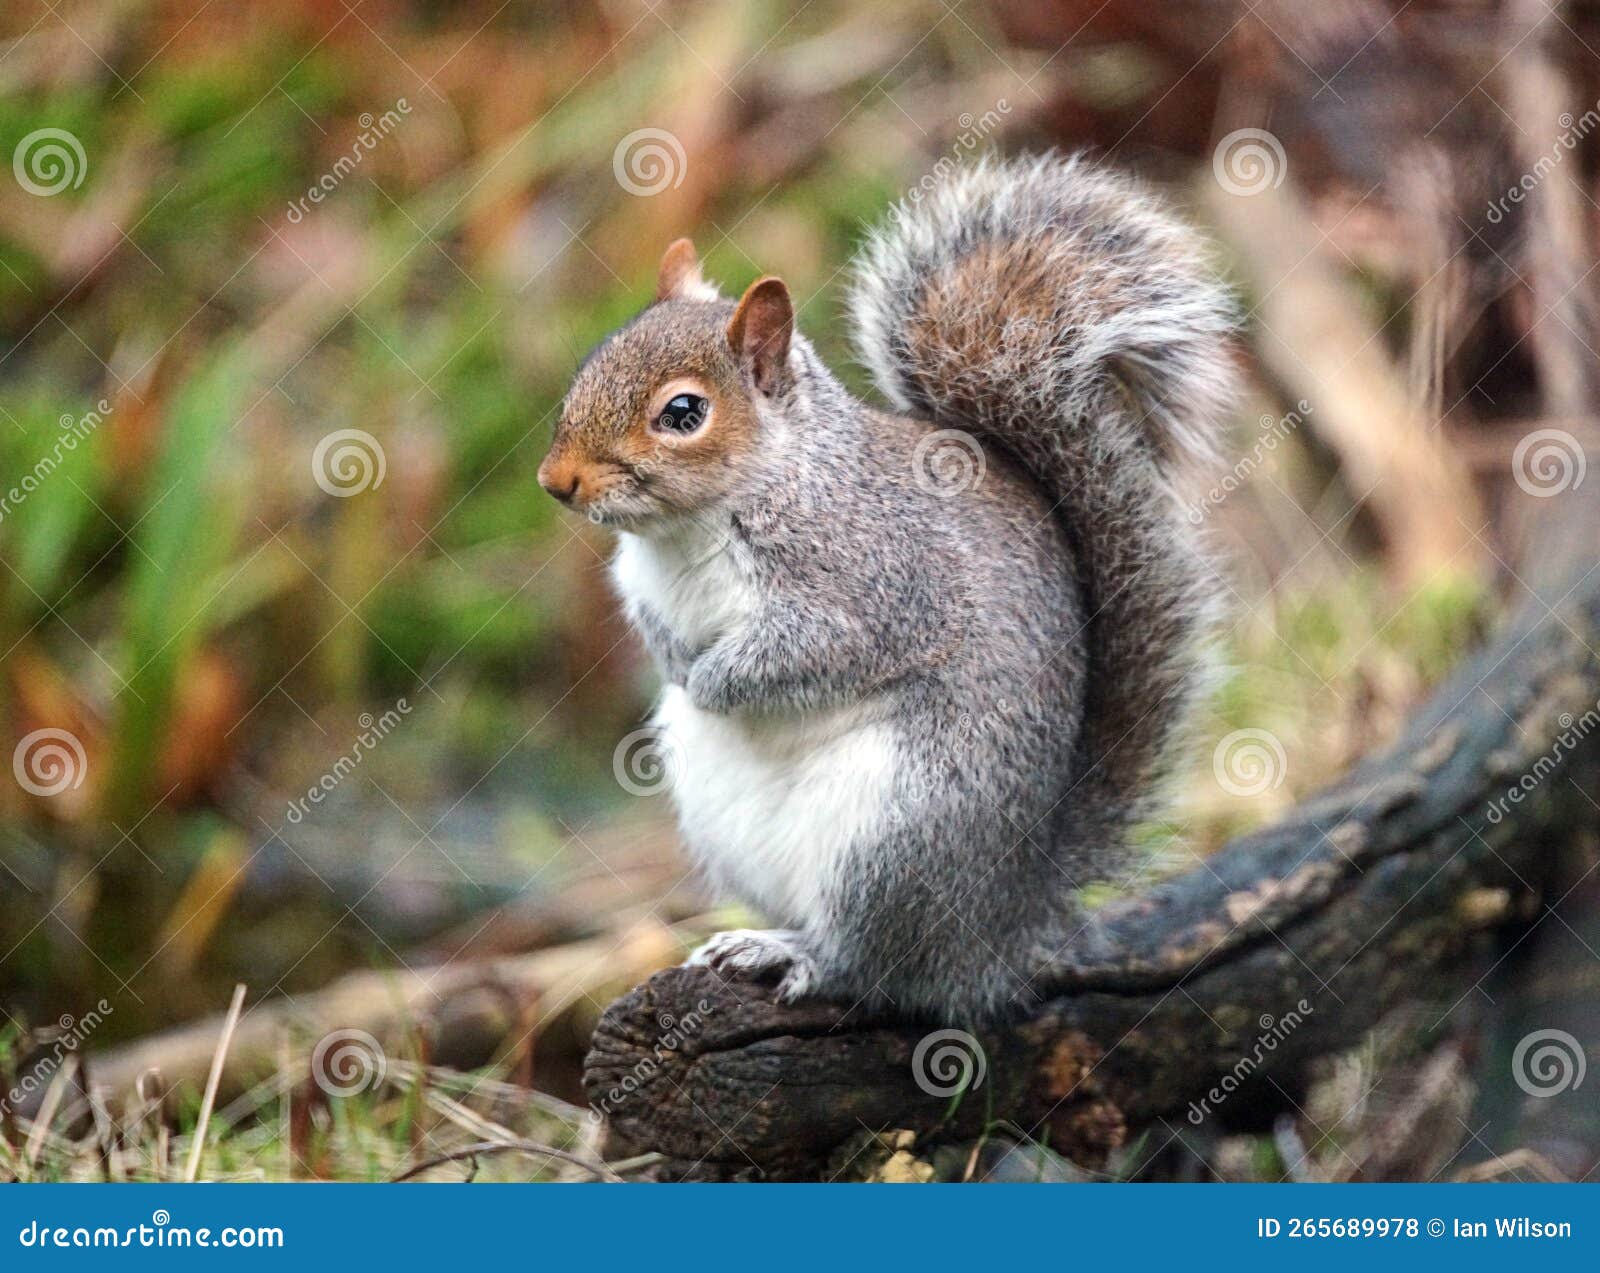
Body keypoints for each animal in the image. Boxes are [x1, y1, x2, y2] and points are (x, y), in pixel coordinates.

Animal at [538, 154, 1237, 1022]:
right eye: (591, 363)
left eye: (684, 412)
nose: (556, 481)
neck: (691, 529)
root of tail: (1004, 926)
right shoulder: (644, 585)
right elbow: (656, 627)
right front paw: (678, 666)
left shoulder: (876, 585)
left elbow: (812, 652)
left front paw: (713, 682)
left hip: (895, 837)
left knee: (883, 967)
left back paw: (801, 956)